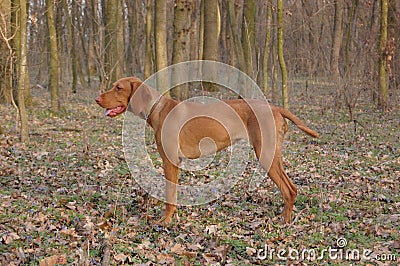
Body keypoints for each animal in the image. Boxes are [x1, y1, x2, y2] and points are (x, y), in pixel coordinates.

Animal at [95, 77, 318, 224]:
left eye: (118, 88)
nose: (97, 99)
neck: (157, 109)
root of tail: (275, 108)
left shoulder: (170, 161)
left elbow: (169, 195)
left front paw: (165, 220)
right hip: (272, 155)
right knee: (292, 188)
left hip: (265, 155)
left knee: (289, 189)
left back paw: (284, 222)